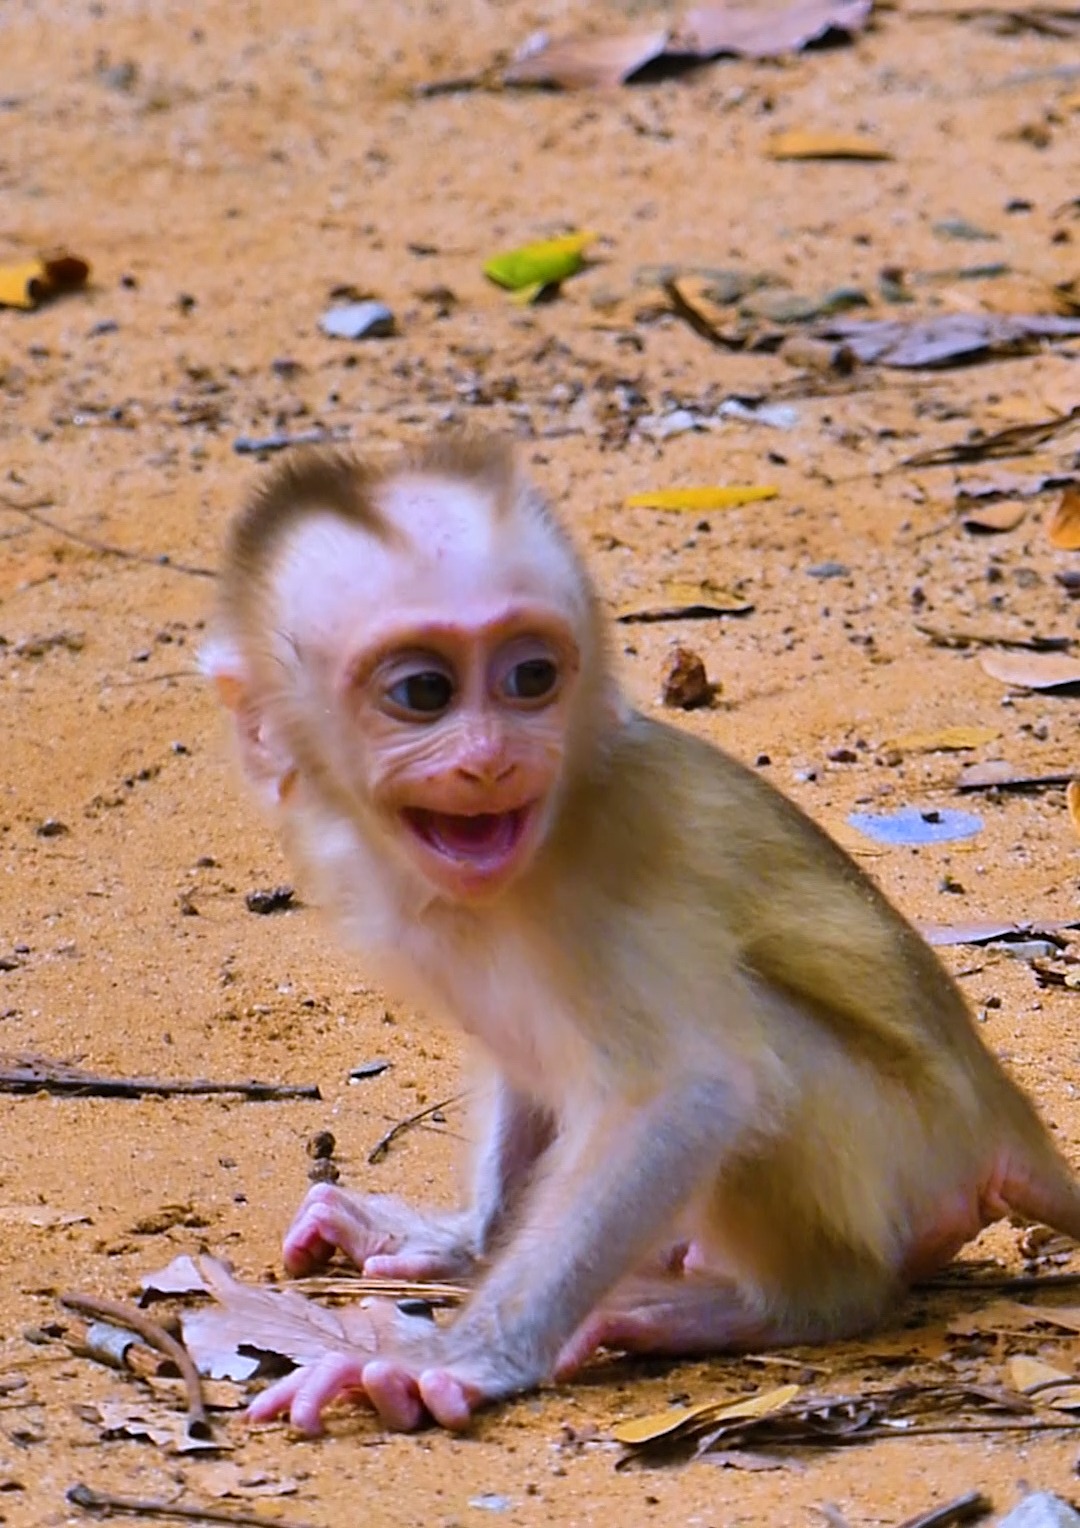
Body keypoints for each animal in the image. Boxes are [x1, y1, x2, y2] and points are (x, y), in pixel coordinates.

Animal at [204, 433, 1080, 1436]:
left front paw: (457, 1358)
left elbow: (689, 1090)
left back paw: (788, 1304)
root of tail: (1001, 1120)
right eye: (423, 692)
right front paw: (463, 1244)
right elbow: (523, 1068)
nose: (492, 761)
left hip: (901, 1154)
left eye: (531, 678)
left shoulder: (608, 873)